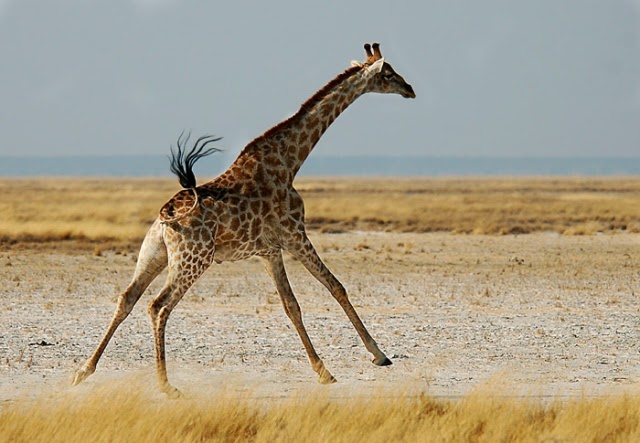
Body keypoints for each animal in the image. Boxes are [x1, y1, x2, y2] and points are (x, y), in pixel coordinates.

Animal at [72, 43, 415, 396]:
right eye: (389, 74)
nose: (410, 89)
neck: (289, 163)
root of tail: (165, 218)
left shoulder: (269, 250)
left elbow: (291, 305)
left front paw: (324, 371)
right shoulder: (295, 235)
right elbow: (336, 286)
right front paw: (378, 355)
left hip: (155, 253)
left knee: (127, 298)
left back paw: (83, 371)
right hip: (193, 259)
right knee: (158, 305)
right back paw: (166, 385)